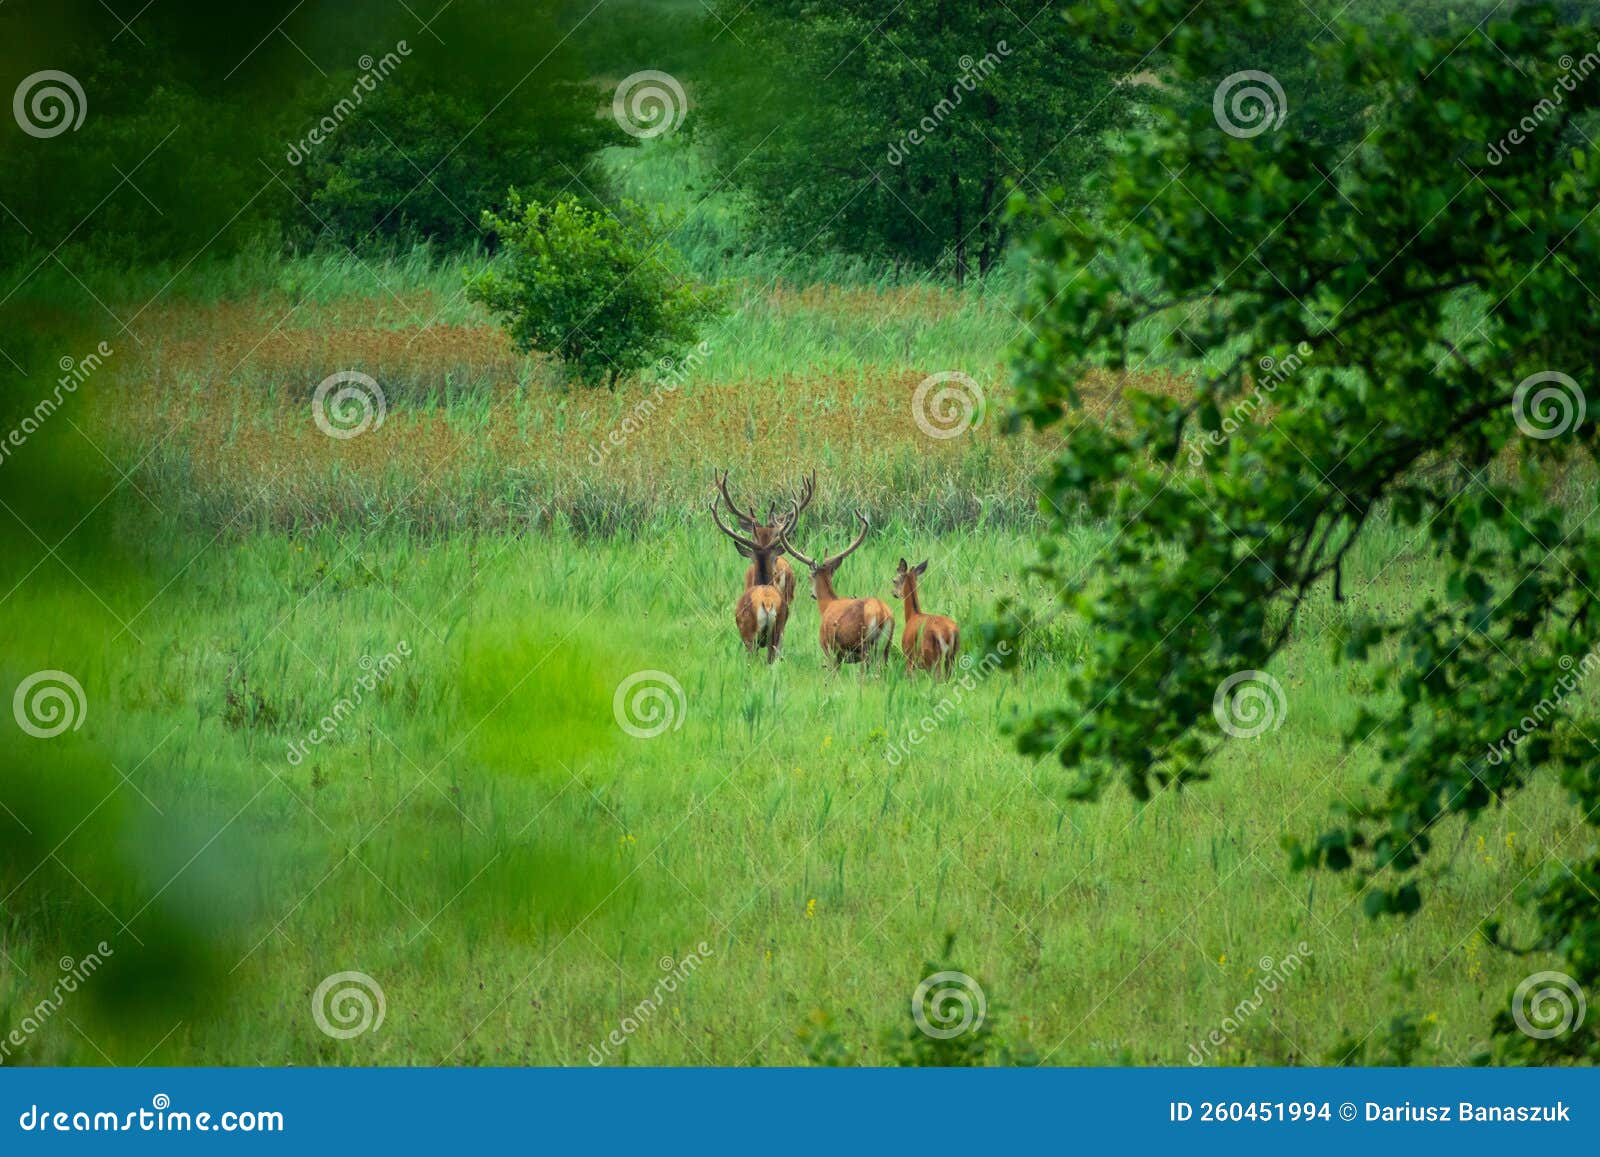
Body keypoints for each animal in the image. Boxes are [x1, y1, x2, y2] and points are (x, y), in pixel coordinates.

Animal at [778, 509, 895, 671]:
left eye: (810, 577)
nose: (812, 594)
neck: (827, 604)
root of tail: (882, 613)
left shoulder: (829, 650)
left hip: (864, 645)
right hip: (886, 647)